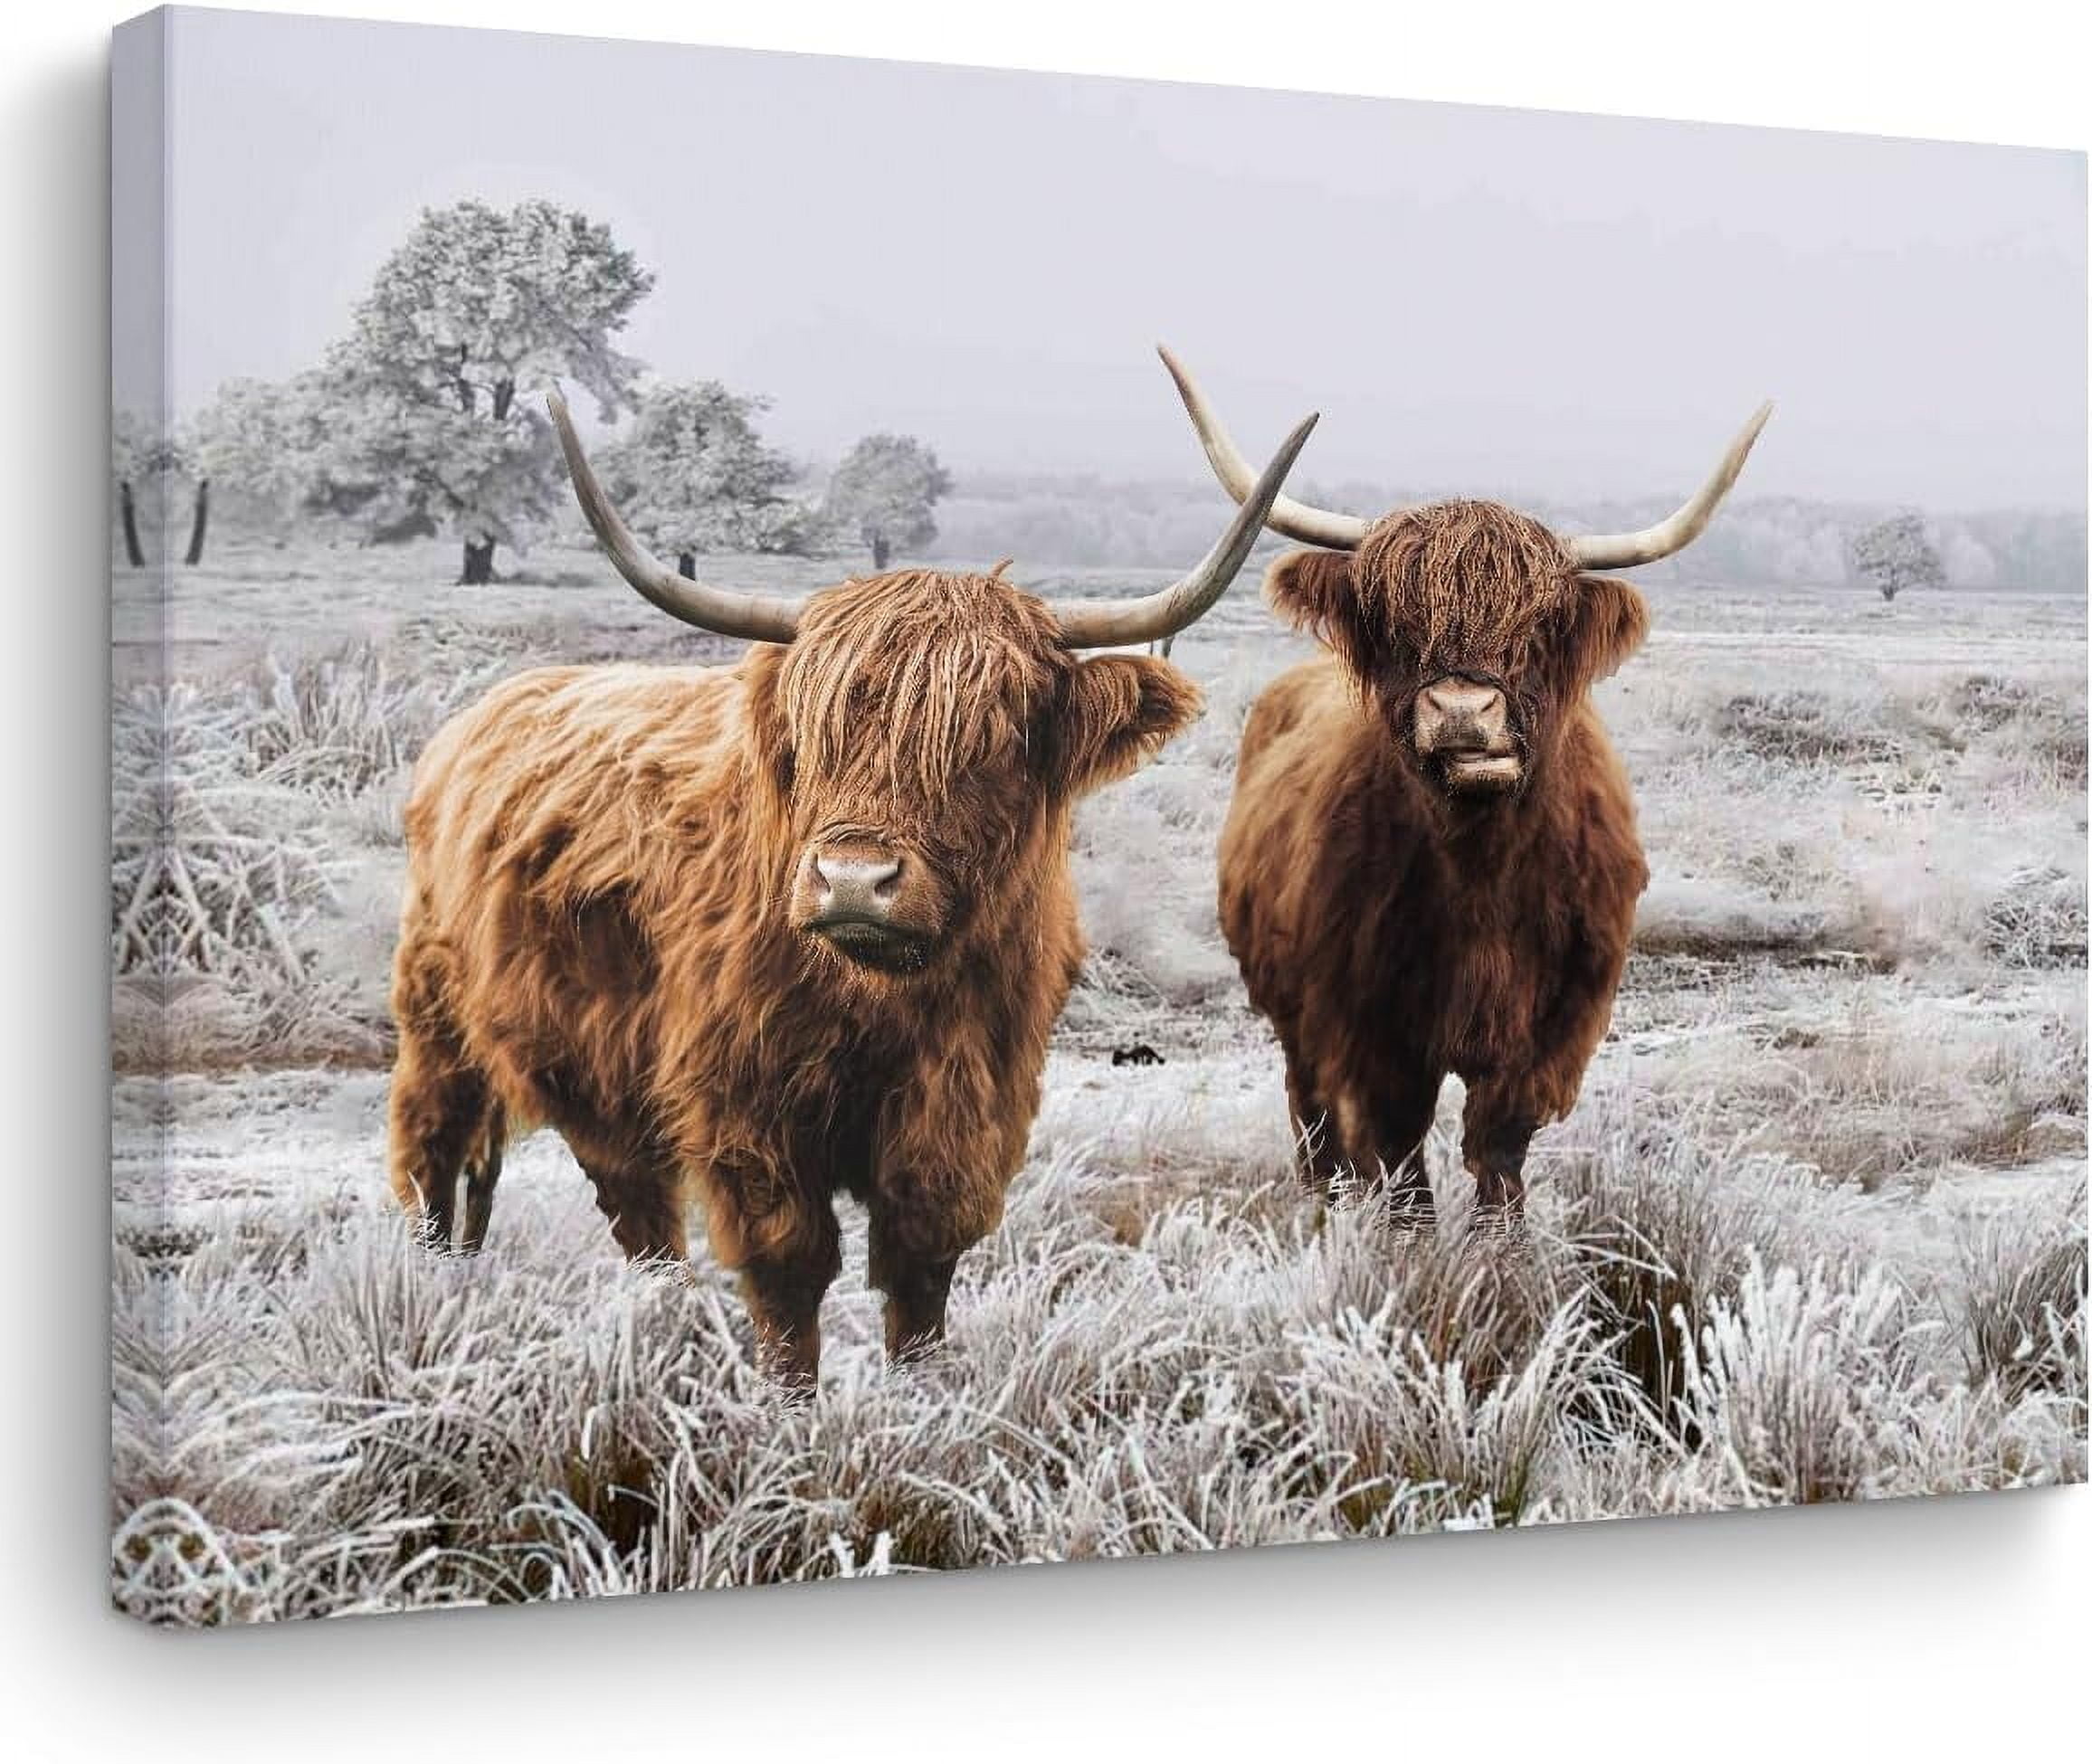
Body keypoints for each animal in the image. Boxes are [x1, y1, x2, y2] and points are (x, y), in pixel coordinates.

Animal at [386, 386, 1317, 1384]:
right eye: (808, 734)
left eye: (995, 739)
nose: (854, 883)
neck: (880, 1005)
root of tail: (482, 713)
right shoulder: (745, 1111)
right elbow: (790, 1275)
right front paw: (791, 1406)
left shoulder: (966, 1108)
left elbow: (920, 1268)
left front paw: (919, 1394)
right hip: (438, 1027)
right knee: (434, 1155)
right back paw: (437, 1284)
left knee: (634, 1208)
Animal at [1158, 347, 1771, 1228]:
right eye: (1392, 624)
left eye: (1540, 625)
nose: (1459, 712)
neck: (1481, 873)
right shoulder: (1368, 1028)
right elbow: (1397, 1150)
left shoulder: (1551, 1029)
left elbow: (1499, 1148)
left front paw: (1502, 1245)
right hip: (1290, 1012)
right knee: (1313, 1120)